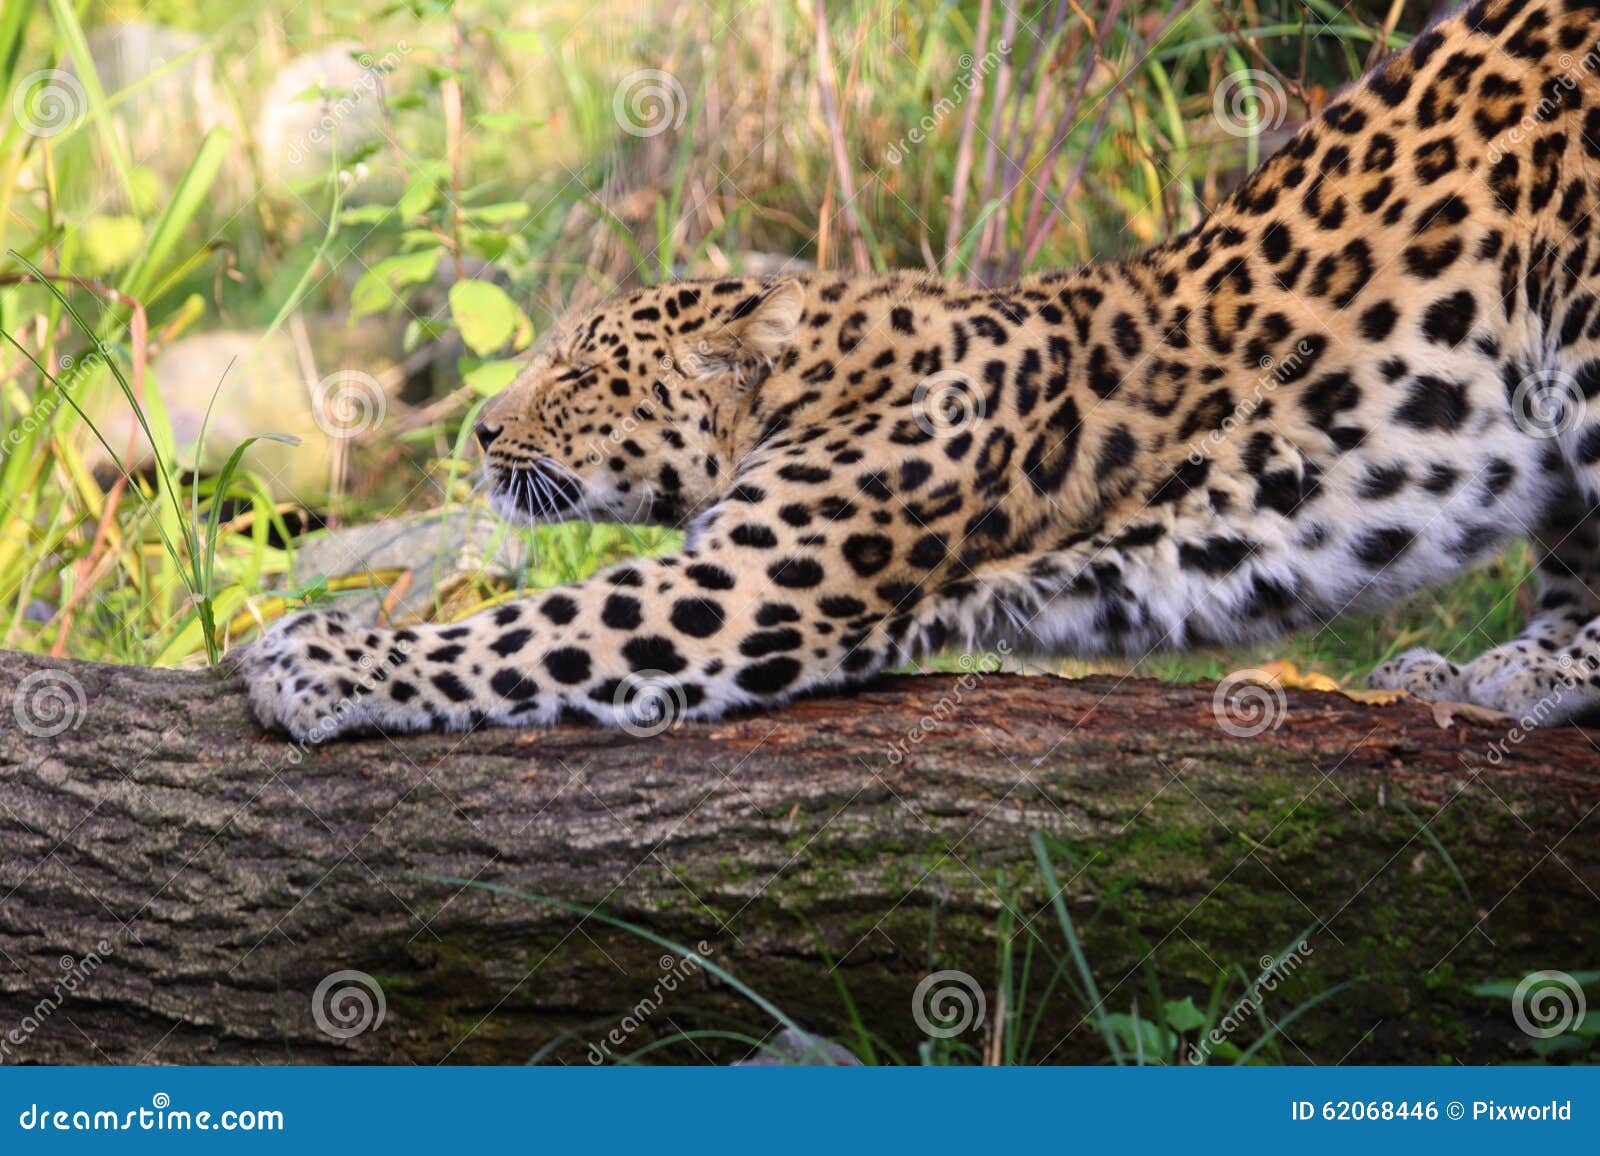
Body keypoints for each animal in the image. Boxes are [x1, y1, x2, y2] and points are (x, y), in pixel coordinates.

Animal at [245, 0, 1600, 743]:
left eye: (577, 376)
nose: (477, 432)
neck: (825, 369)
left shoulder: (750, 589)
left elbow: (532, 628)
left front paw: (320, 656)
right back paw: (1469, 671)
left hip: (1581, 308)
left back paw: (1526, 670)